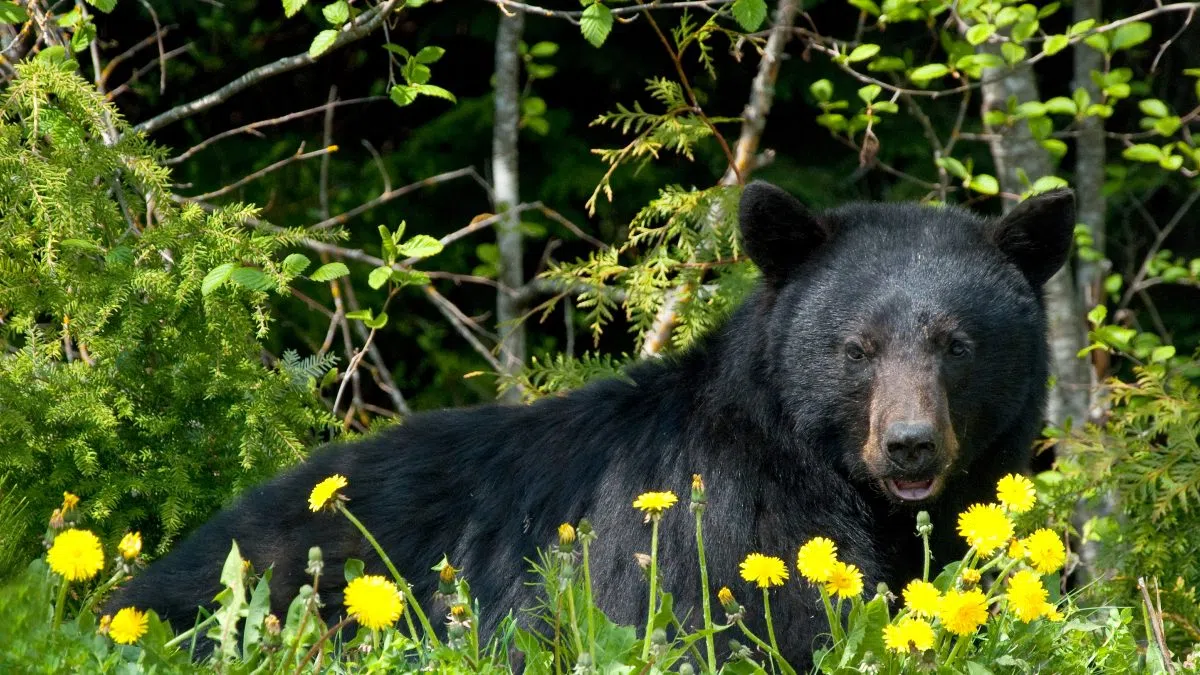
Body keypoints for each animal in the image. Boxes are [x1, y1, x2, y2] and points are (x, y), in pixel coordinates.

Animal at [107, 180, 1075, 668]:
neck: (822, 469)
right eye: (857, 347)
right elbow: (758, 624)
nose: (909, 443)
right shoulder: (732, 525)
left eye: (956, 343)